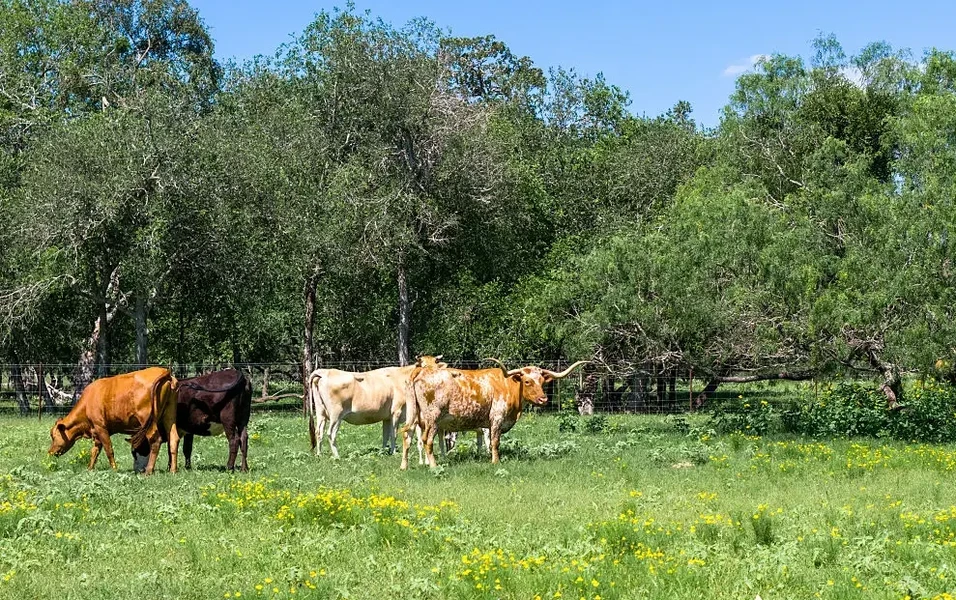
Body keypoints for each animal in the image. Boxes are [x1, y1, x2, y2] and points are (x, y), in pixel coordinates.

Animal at [48, 367, 180, 474]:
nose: (50, 452)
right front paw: (90, 469)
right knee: (173, 438)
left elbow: (108, 449)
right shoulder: (96, 431)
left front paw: (114, 469)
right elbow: (95, 451)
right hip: (169, 416)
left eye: (53, 436)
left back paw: (149, 471)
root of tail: (163, 371)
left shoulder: (100, 427)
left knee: (156, 440)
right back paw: (173, 470)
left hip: (147, 420)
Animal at [307, 356, 447, 459]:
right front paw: (394, 453)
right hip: (336, 415)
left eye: (436, 368)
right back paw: (337, 456)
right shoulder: (396, 412)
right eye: (424, 369)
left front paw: (384, 452)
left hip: (321, 413)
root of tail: (325, 371)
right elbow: (393, 434)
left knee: (319, 432)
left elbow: (385, 436)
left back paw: (319, 454)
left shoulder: (387, 417)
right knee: (330, 433)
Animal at [401, 359, 588, 469]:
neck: (510, 386)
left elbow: (489, 442)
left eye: (542, 381)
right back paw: (433, 466)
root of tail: (421, 371)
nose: (543, 399)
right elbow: (495, 442)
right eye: (527, 381)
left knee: (406, 435)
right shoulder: (497, 419)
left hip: (414, 416)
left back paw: (404, 466)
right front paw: (495, 462)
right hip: (432, 418)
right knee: (426, 440)